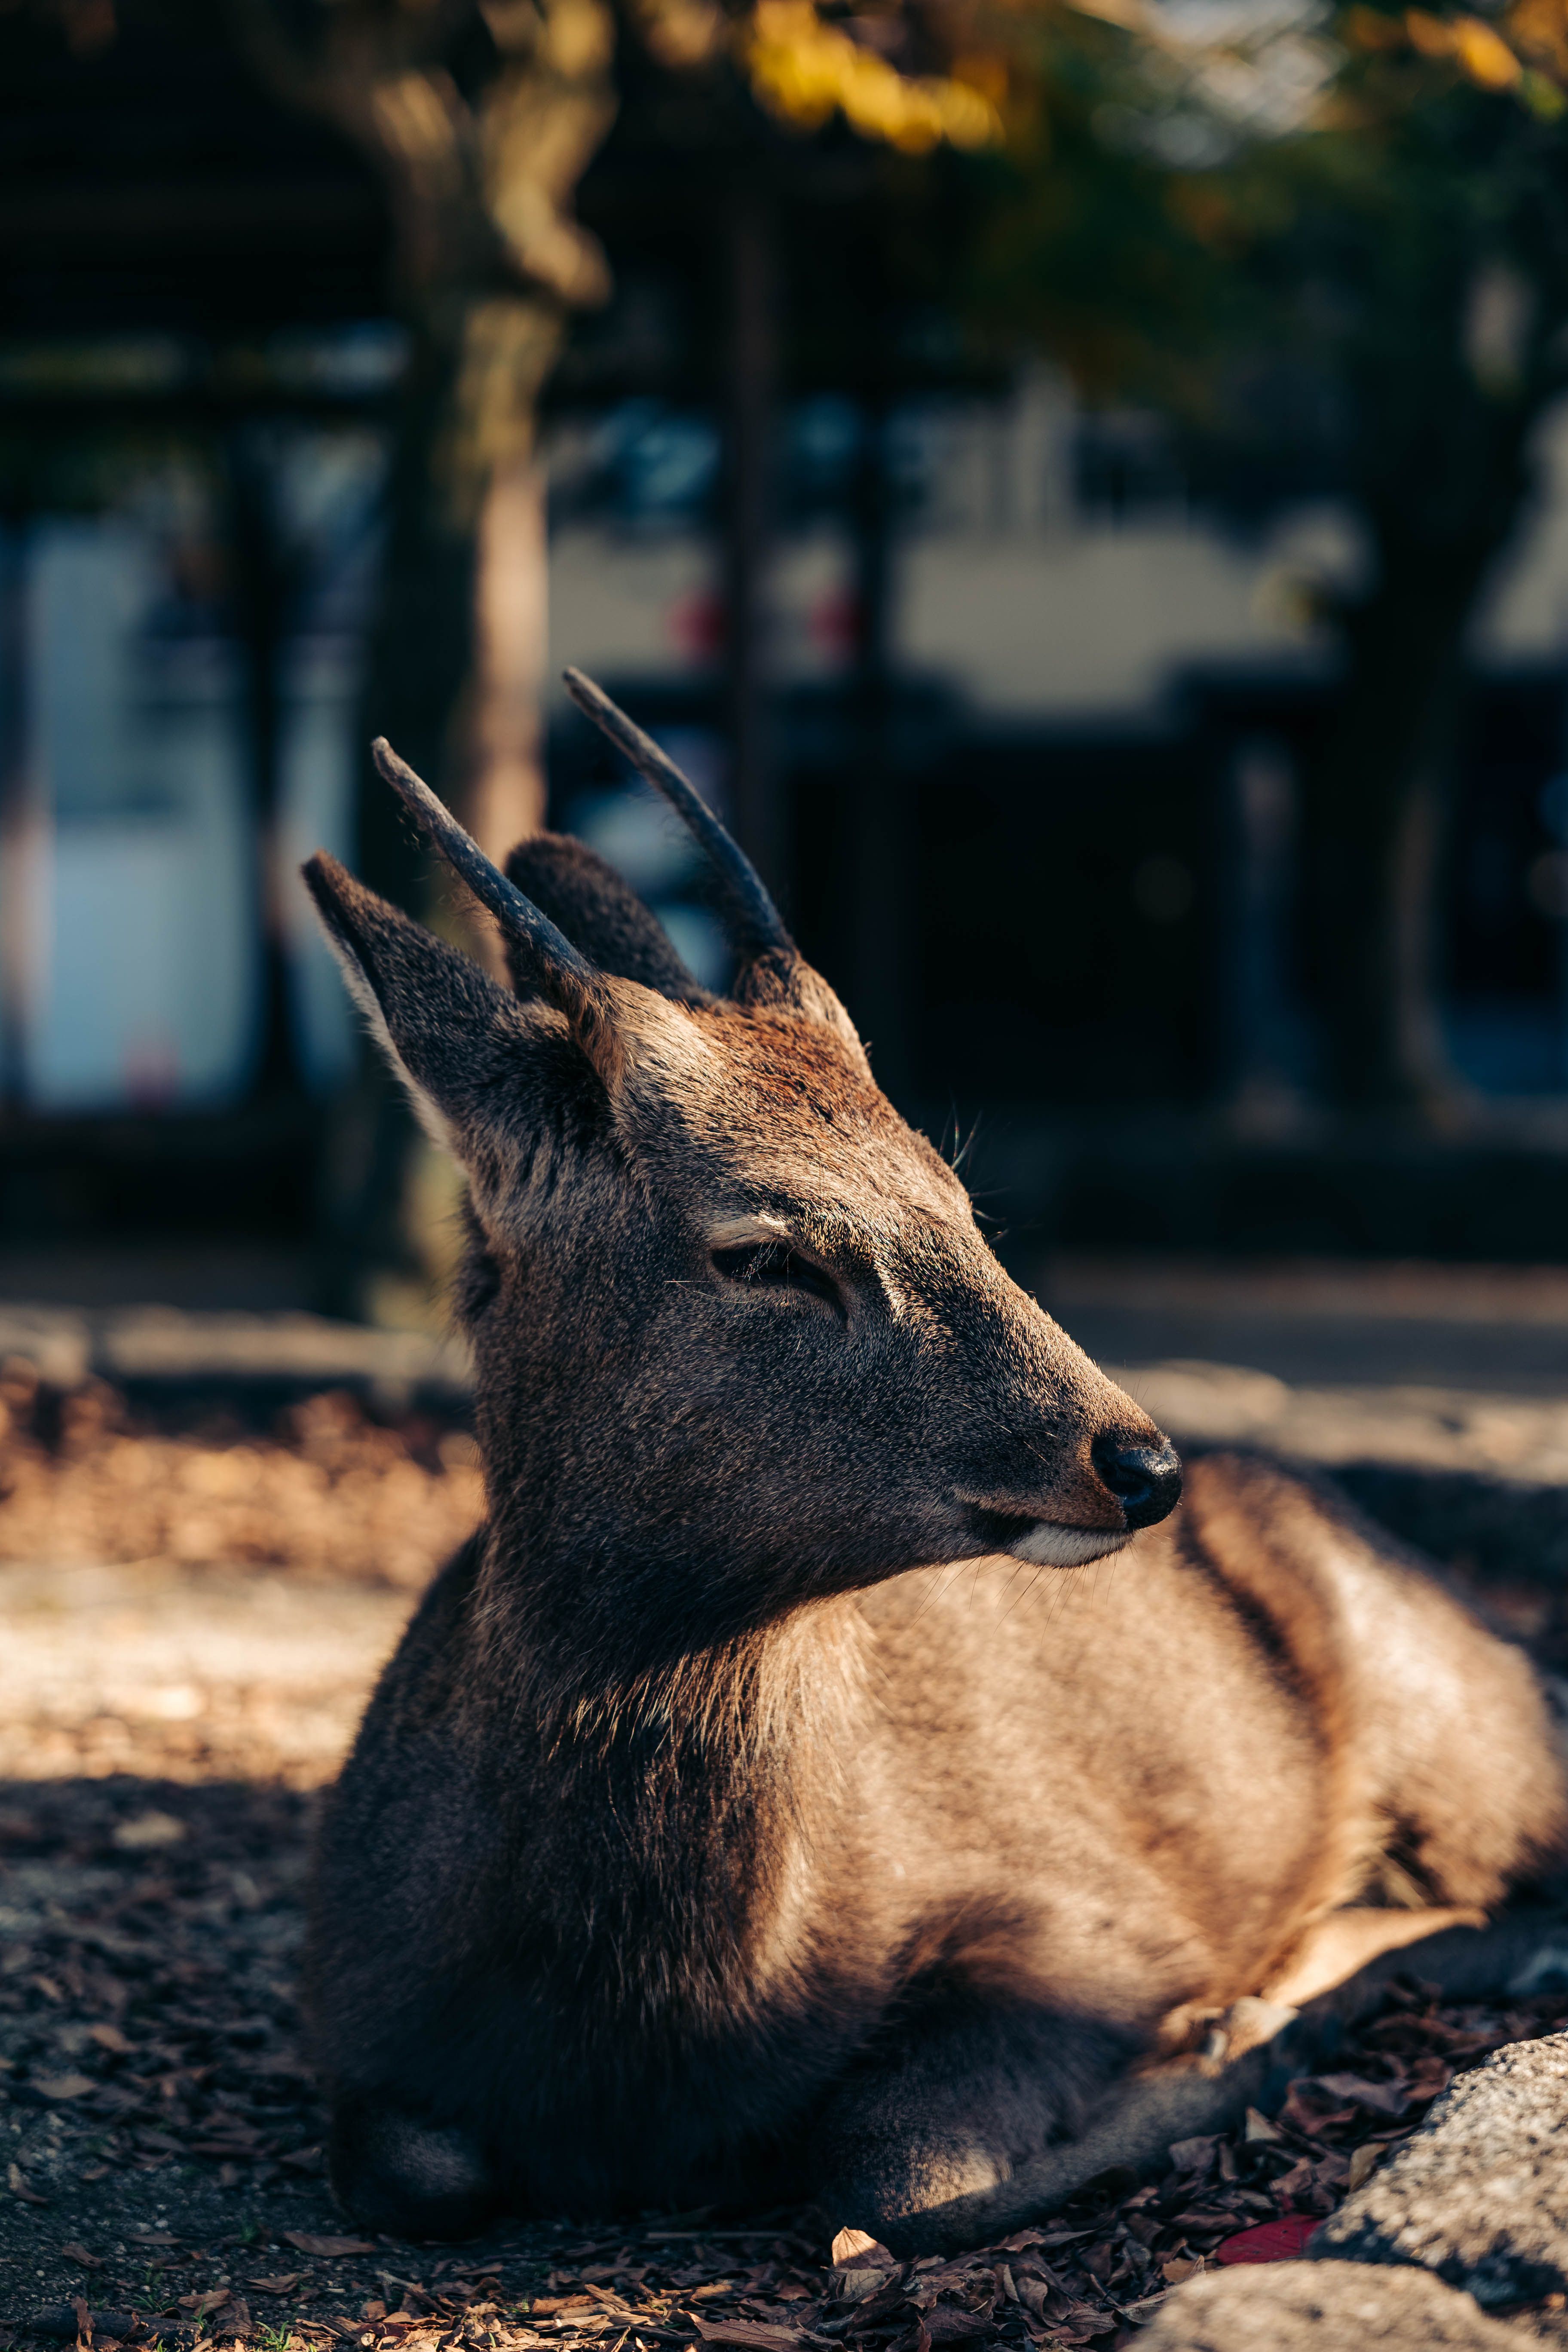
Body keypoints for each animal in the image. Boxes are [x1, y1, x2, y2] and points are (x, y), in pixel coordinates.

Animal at [302, 670, 1568, 2256]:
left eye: (957, 1198)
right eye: (764, 1250)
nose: (1133, 1459)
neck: (644, 2035)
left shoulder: (1083, 1912)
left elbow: (896, 2172)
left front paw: (1216, 2035)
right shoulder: (356, 2030)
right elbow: (413, 2170)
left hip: (1476, 1738)